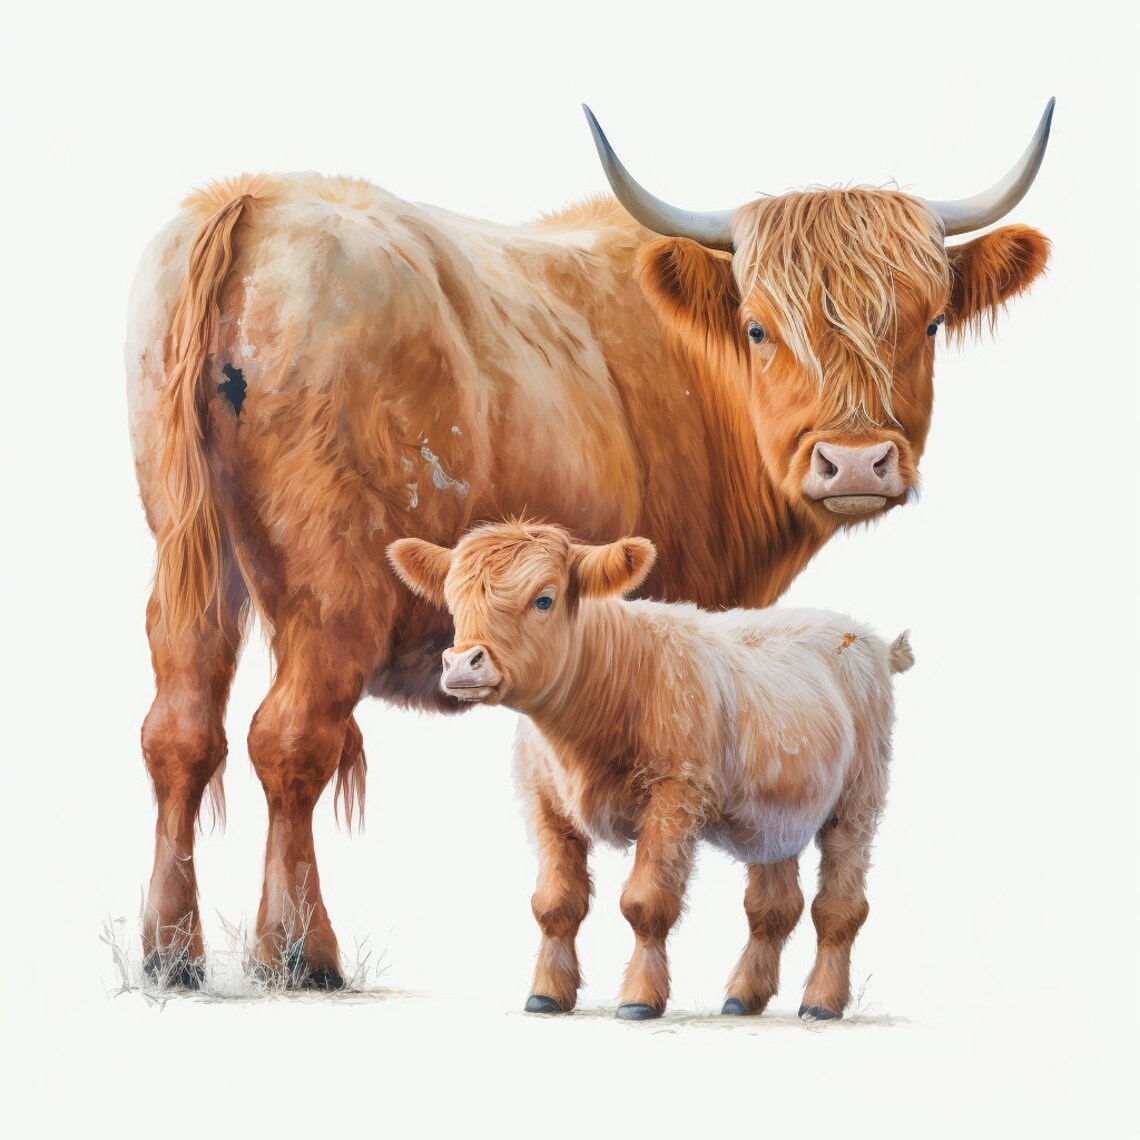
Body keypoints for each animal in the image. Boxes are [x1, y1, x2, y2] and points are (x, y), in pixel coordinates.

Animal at [388, 520, 914, 1020]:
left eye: (544, 599)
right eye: (454, 602)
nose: (463, 665)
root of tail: (864, 637)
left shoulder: (674, 797)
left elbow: (645, 902)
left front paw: (639, 998)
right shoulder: (542, 801)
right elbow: (555, 904)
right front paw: (546, 994)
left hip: (858, 801)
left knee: (838, 907)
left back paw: (821, 1002)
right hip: (776, 813)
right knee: (772, 907)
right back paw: (743, 996)